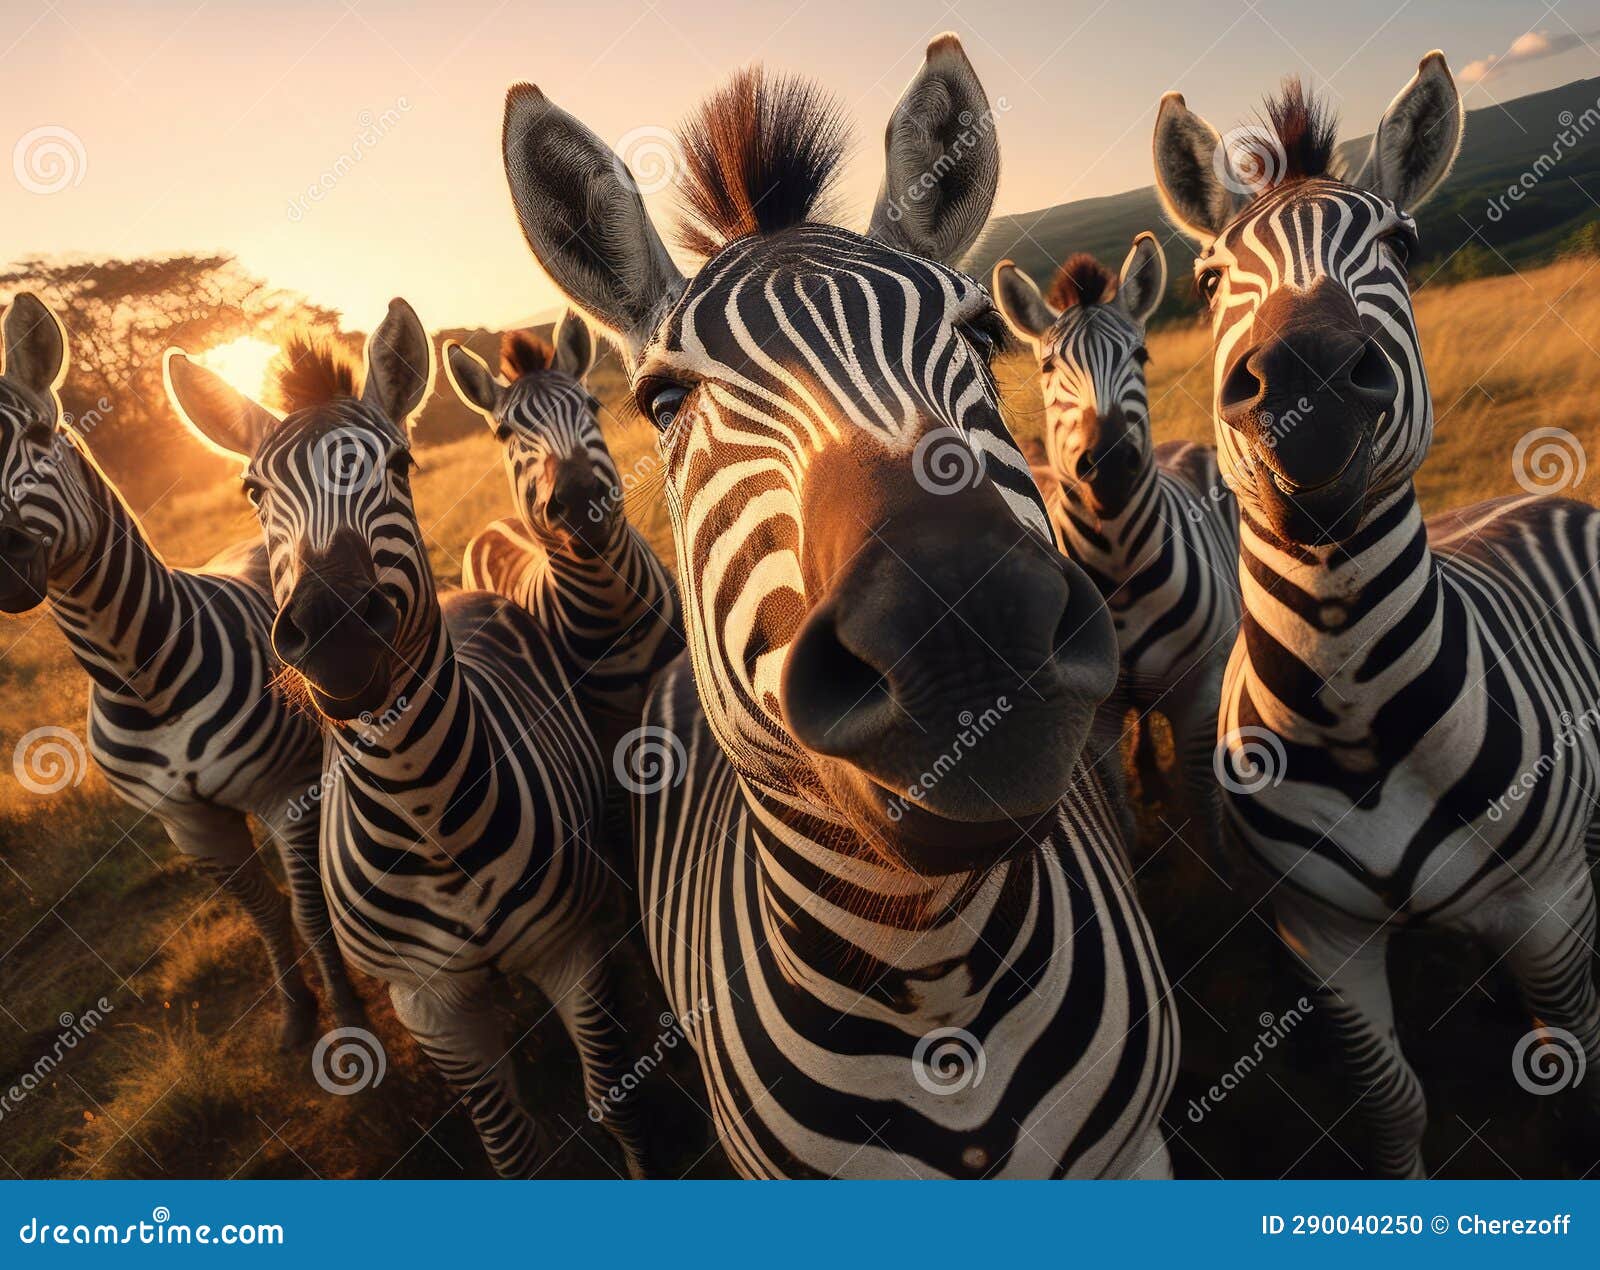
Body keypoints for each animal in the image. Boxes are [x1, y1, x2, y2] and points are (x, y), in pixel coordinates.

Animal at [0, 292, 362, 1048]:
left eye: (42, 434)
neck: (142, 675)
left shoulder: (284, 794)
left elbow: (307, 909)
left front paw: (345, 1014)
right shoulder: (189, 827)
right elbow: (266, 912)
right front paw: (295, 1014)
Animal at [164, 301, 654, 1178]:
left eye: (398, 464)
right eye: (252, 491)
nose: (336, 634)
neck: (430, 816)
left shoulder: (574, 952)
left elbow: (618, 1103)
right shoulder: (429, 1007)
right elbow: (513, 1152)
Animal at [994, 236, 1240, 848]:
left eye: (1141, 357)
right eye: (1048, 366)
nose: (1106, 466)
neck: (1122, 571)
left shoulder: (1199, 696)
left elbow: (1204, 811)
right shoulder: (1096, 717)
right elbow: (1120, 817)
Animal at [1153, 52, 1600, 1176]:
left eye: (1401, 245)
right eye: (1210, 280)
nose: (1305, 384)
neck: (1353, 708)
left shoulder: (1549, 907)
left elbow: (1574, 1066)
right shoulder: (1322, 938)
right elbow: (1390, 1101)